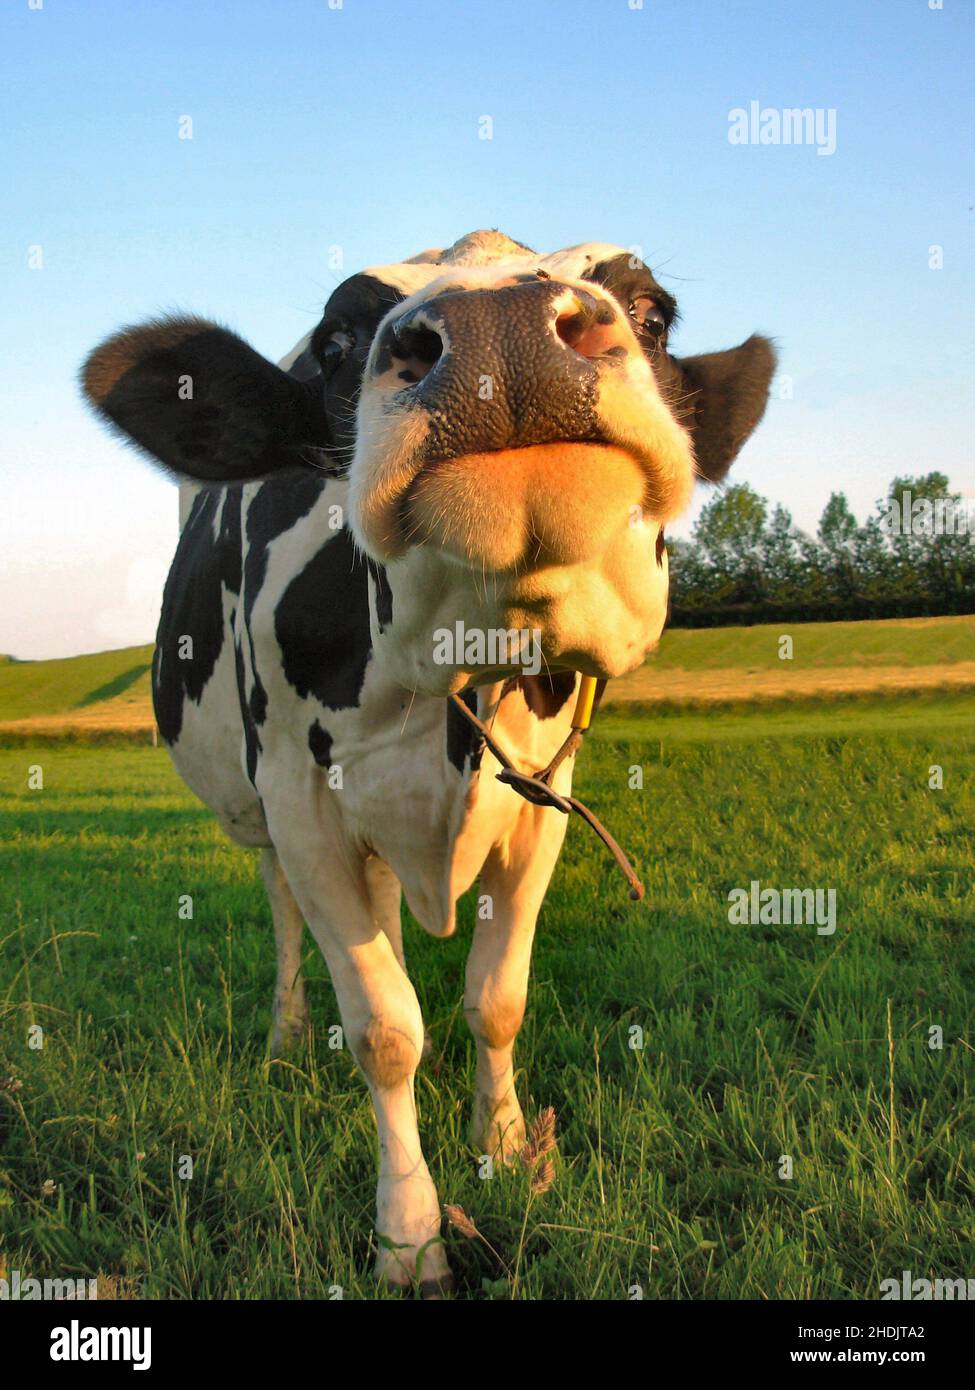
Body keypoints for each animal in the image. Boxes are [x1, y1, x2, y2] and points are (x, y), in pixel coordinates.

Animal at [82, 229, 775, 1295]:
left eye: (654, 312)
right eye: (335, 342)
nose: (500, 333)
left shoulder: (543, 802)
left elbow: (495, 1001)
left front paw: (507, 1151)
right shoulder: (302, 802)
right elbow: (385, 1031)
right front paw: (409, 1238)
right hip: (259, 814)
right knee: (287, 914)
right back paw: (287, 1038)